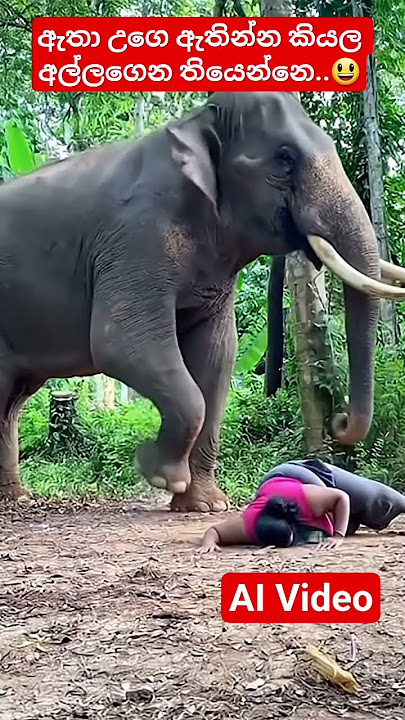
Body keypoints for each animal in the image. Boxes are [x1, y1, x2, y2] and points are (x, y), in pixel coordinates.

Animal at [1, 91, 405, 512]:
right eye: (284, 159)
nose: (338, 422)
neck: (193, 122)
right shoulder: (135, 238)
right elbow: (121, 344)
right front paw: (157, 472)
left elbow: (218, 354)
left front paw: (206, 505)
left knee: (11, 400)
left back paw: (16, 497)